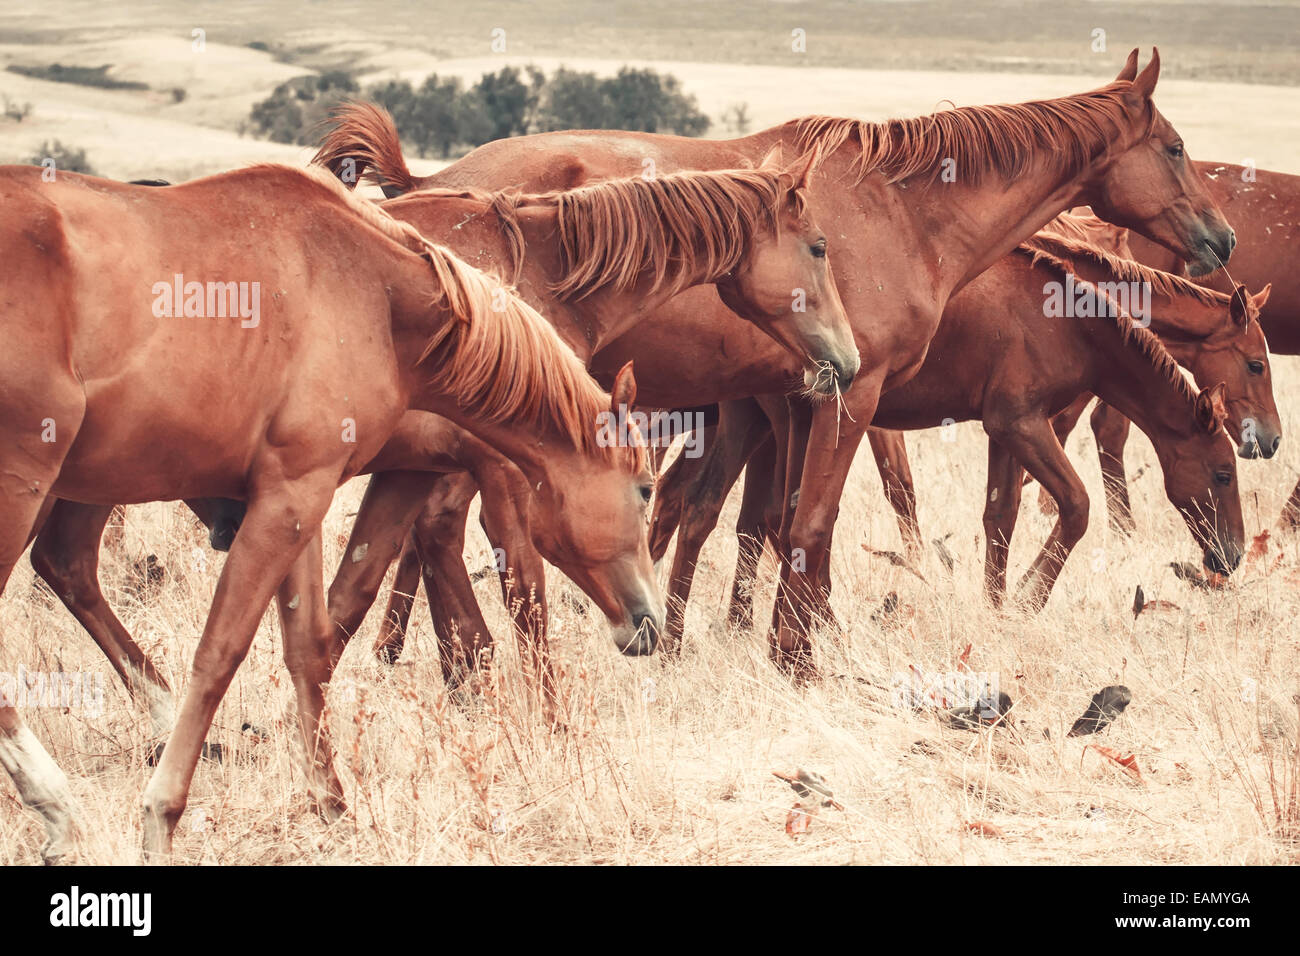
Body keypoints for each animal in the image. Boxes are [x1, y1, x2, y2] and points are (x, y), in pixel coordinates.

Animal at [0, 163, 656, 861]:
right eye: (645, 488)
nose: (650, 623)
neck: (373, 295)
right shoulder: (291, 497)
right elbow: (222, 651)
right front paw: (161, 816)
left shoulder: (301, 495)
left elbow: (311, 643)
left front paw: (331, 801)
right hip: (24, 489)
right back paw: (59, 807)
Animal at [324, 50, 1237, 676]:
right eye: (1177, 148)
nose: (1223, 239)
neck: (904, 210)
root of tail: (422, 191)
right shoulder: (850, 398)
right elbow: (807, 524)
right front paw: (798, 658)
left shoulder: (793, 402)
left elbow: (783, 523)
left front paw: (788, 639)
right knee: (445, 533)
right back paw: (462, 665)